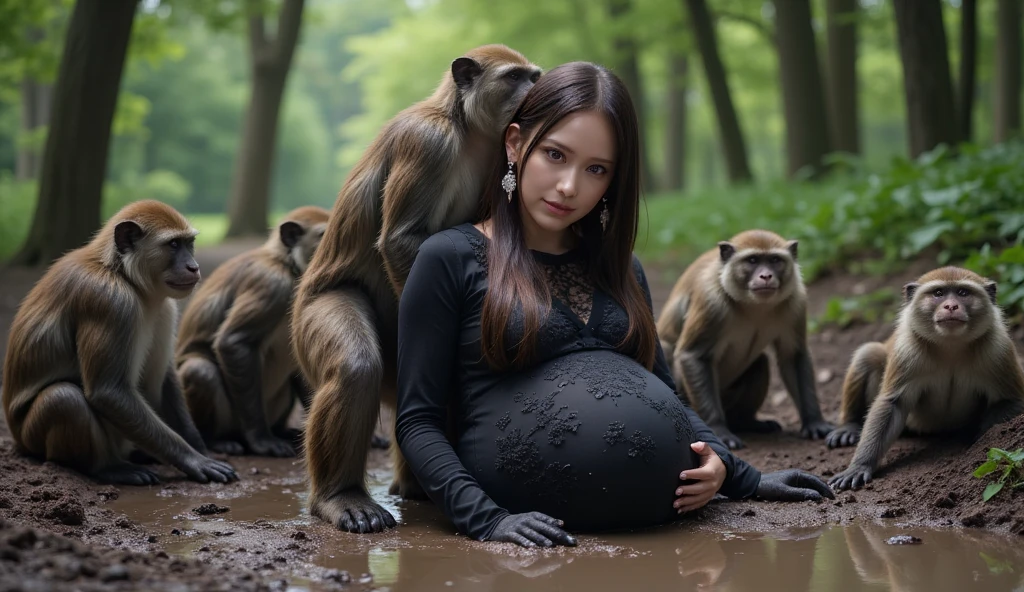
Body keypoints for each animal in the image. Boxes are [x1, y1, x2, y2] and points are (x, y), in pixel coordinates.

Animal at [2, 200, 238, 486]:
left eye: (188, 243)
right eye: (173, 245)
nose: (193, 267)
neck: (120, 272)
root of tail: (18, 441)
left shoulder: (163, 304)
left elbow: (166, 375)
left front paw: (198, 445)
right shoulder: (111, 302)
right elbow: (108, 391)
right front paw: (193, 458)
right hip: (33, 438)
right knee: (64, 398)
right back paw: (107, 468)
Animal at [175, 206, 330, 458]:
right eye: (322, 235)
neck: (286, 264)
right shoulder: (270, 283)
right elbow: (234, 342)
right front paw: (261, 439)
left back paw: (282, 431)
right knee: (200, 370)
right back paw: (217, 440)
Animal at [291, 45, 541, 533]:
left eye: (534, 76)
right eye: (514, 77)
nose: (534, 91)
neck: (467, 130)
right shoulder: (429, 142)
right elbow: (402, 240)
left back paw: (415, 487)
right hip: (309, 323)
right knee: (357, 366)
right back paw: (341, 496)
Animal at [656, 229, 834, 450]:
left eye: (775, 260)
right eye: (752, 260)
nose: (766, 275)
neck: (752, 304)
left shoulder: (796, 300)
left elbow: (793, 356)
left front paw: (814, 421)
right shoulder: (712, 302)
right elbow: (693, 356)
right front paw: (719, 430)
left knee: (760, 363)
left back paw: (746, 422)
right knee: (666, 349)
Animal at [828, 266, 1024, 490]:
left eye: (963, 293)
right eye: (938, 293)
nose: (951, 306)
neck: (951, 345)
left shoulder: (998, 349)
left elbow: (1012, 401)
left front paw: (978, 437)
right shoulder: (908, 351)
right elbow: (893, 403)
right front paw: (860, 465)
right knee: (868, 354)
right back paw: (849, 426)